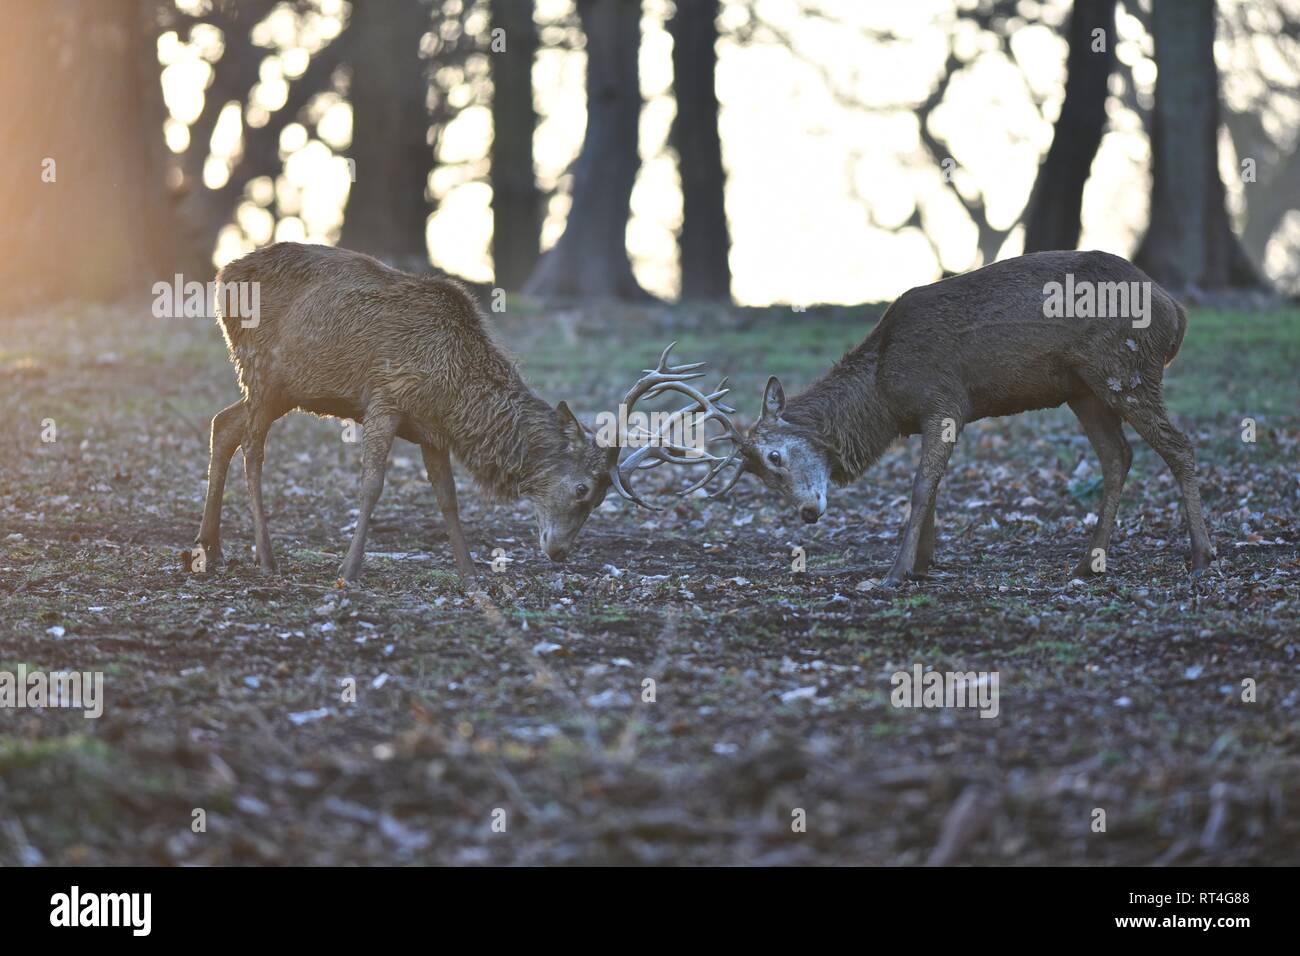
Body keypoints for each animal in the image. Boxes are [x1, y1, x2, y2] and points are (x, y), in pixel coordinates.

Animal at [190, 242, 732, 583]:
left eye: (601, 499)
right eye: (583, 489)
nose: (559, 552)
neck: (455, 393)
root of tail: (220, 276)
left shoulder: (431, 431)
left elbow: (447, 498)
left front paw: (471, 574)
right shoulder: (385, 398)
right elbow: (372, 485)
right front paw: (348, 572)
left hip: (282, 388)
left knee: (223, 423)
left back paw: (210, 550)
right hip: (262, 369)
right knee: (252, 447)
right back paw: (264, 558)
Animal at [699, 250, 1215, 589]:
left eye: (775, 456)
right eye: (760, 477)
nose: (808, 513)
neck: (883, 398)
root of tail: (1176, 310)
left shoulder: (945, 400)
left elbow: (921, 486)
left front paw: (896, 572)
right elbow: (932, 486)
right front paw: (922, 563)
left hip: (1126, 370)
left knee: (1178, 445)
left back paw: (1201, 554)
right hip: (1084, 390)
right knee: (1117, 456)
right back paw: (1089, 563)